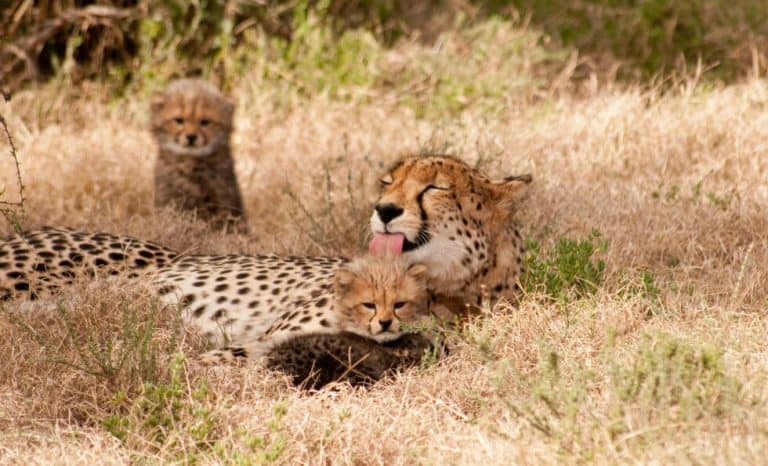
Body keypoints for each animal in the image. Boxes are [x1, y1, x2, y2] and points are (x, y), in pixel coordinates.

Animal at [151, 78, 247, 233]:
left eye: (205, 122)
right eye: (179, 120)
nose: (191, 137)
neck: (191, 164)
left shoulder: (223, 200)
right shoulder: (169, 201)